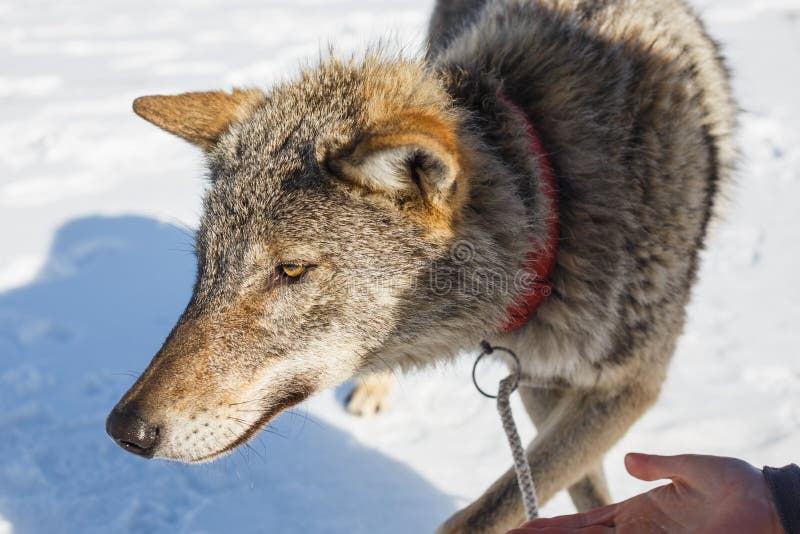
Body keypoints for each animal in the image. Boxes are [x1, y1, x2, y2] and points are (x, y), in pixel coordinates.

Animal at [106, 0, 736, 532]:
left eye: (290, 270)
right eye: (205, 264)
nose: (122, 430)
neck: (557, 199)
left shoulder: (623, 385)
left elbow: (506, 504)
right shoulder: (537, 378)